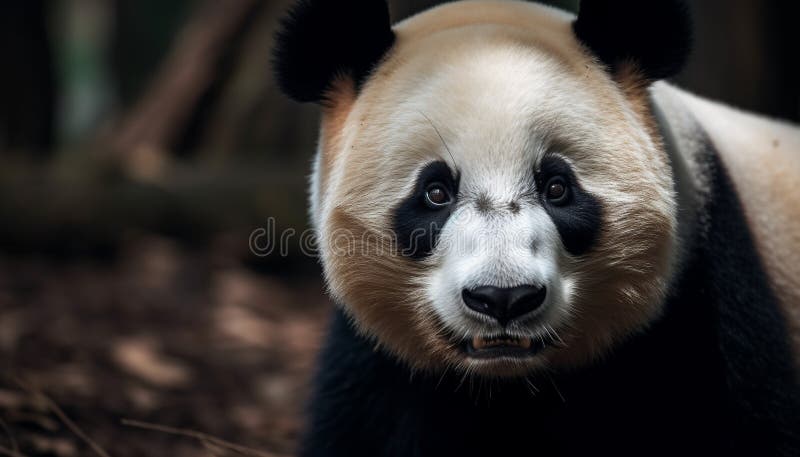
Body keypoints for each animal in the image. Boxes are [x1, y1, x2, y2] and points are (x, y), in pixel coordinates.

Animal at [273, 0, 800, 455]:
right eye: (436, 192)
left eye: (557, 187)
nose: (503, 298)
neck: (510, 383)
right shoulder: (382, 372)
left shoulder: (703, 309)